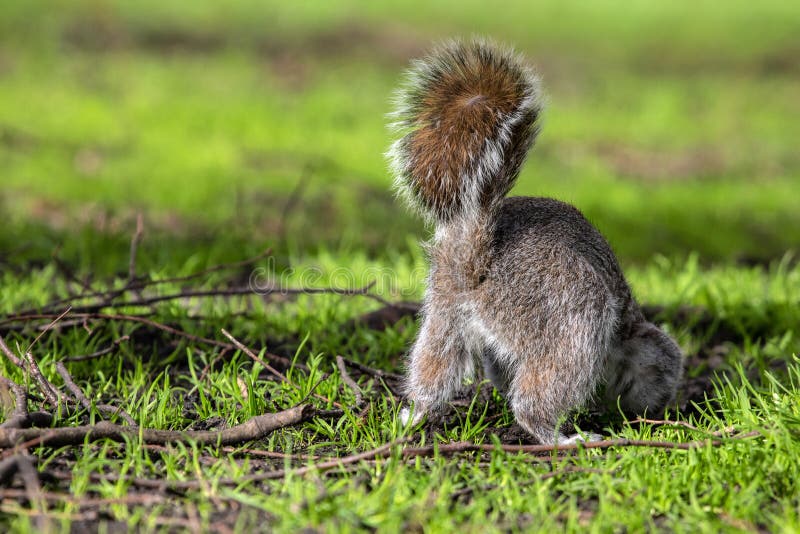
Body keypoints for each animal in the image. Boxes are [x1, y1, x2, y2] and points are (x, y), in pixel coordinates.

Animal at [387, 38, 684, 444]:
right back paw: (563, 438)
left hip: (446, 312)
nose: (653, 413)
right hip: (569, 317)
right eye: (657, 379)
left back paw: (412, 416)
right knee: (538, 398)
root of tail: (476, 260)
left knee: (435, 368)